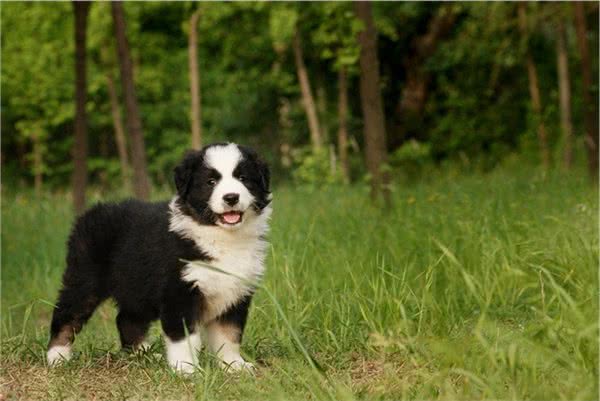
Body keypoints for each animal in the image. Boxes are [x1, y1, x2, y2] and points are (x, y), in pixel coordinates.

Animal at [47, 143, 272, 372]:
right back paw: (57, 357)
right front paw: (186, 369)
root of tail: (91, 212)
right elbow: (184, 337)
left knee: (127, 319)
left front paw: (234, 365)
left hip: (138, 287)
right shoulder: (179, 291)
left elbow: (229, 335)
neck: (220, 236)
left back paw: (145, 354)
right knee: (67, 315)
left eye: (243, 178)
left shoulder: (236, 292)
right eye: (211, 182)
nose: (231, 197)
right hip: (85, 280)